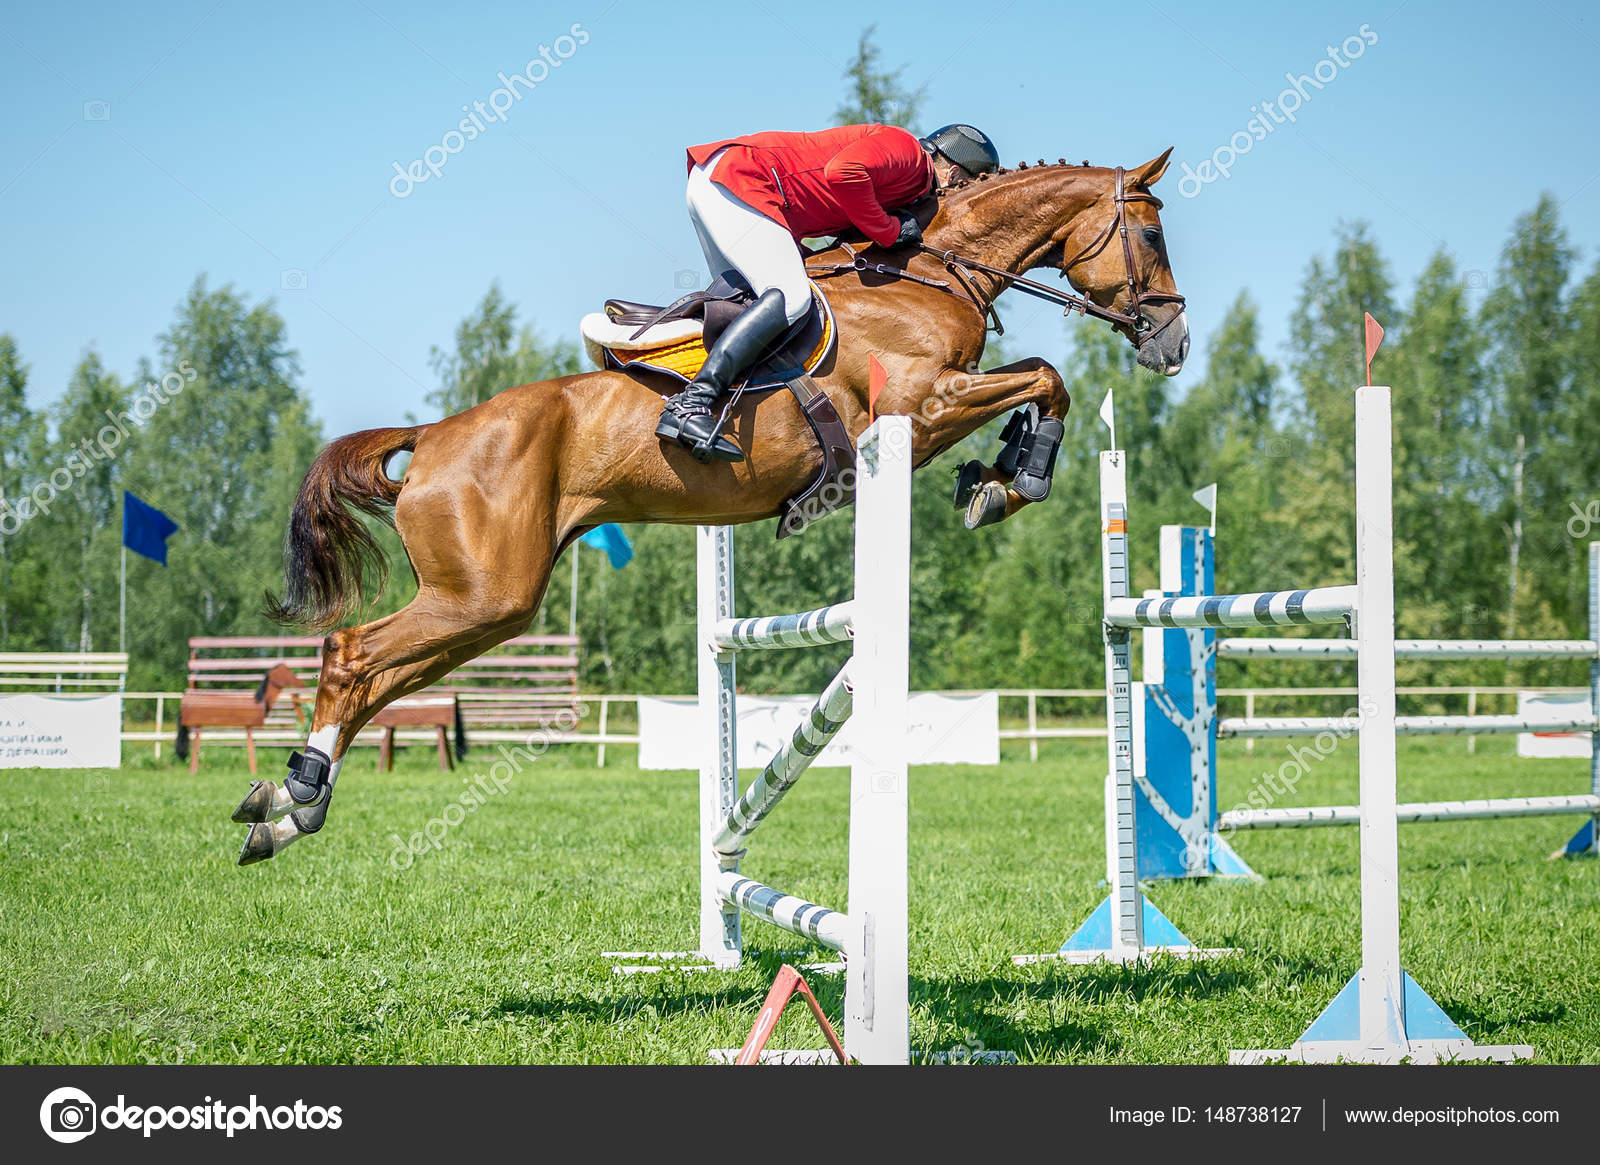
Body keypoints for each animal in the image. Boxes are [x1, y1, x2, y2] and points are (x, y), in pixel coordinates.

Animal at [232, 149, 1189, 863]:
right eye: (1150, 231)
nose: (1174, 341)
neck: (931, 274)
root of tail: (432, 435)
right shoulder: (921, 406)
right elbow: (1046, 377)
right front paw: (1011, 480)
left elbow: (1040, 379)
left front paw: (995, 475)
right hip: (485, 594)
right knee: (354, 654)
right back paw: (298, 792)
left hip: (485, 605)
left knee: (379, 675)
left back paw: (288, 808)